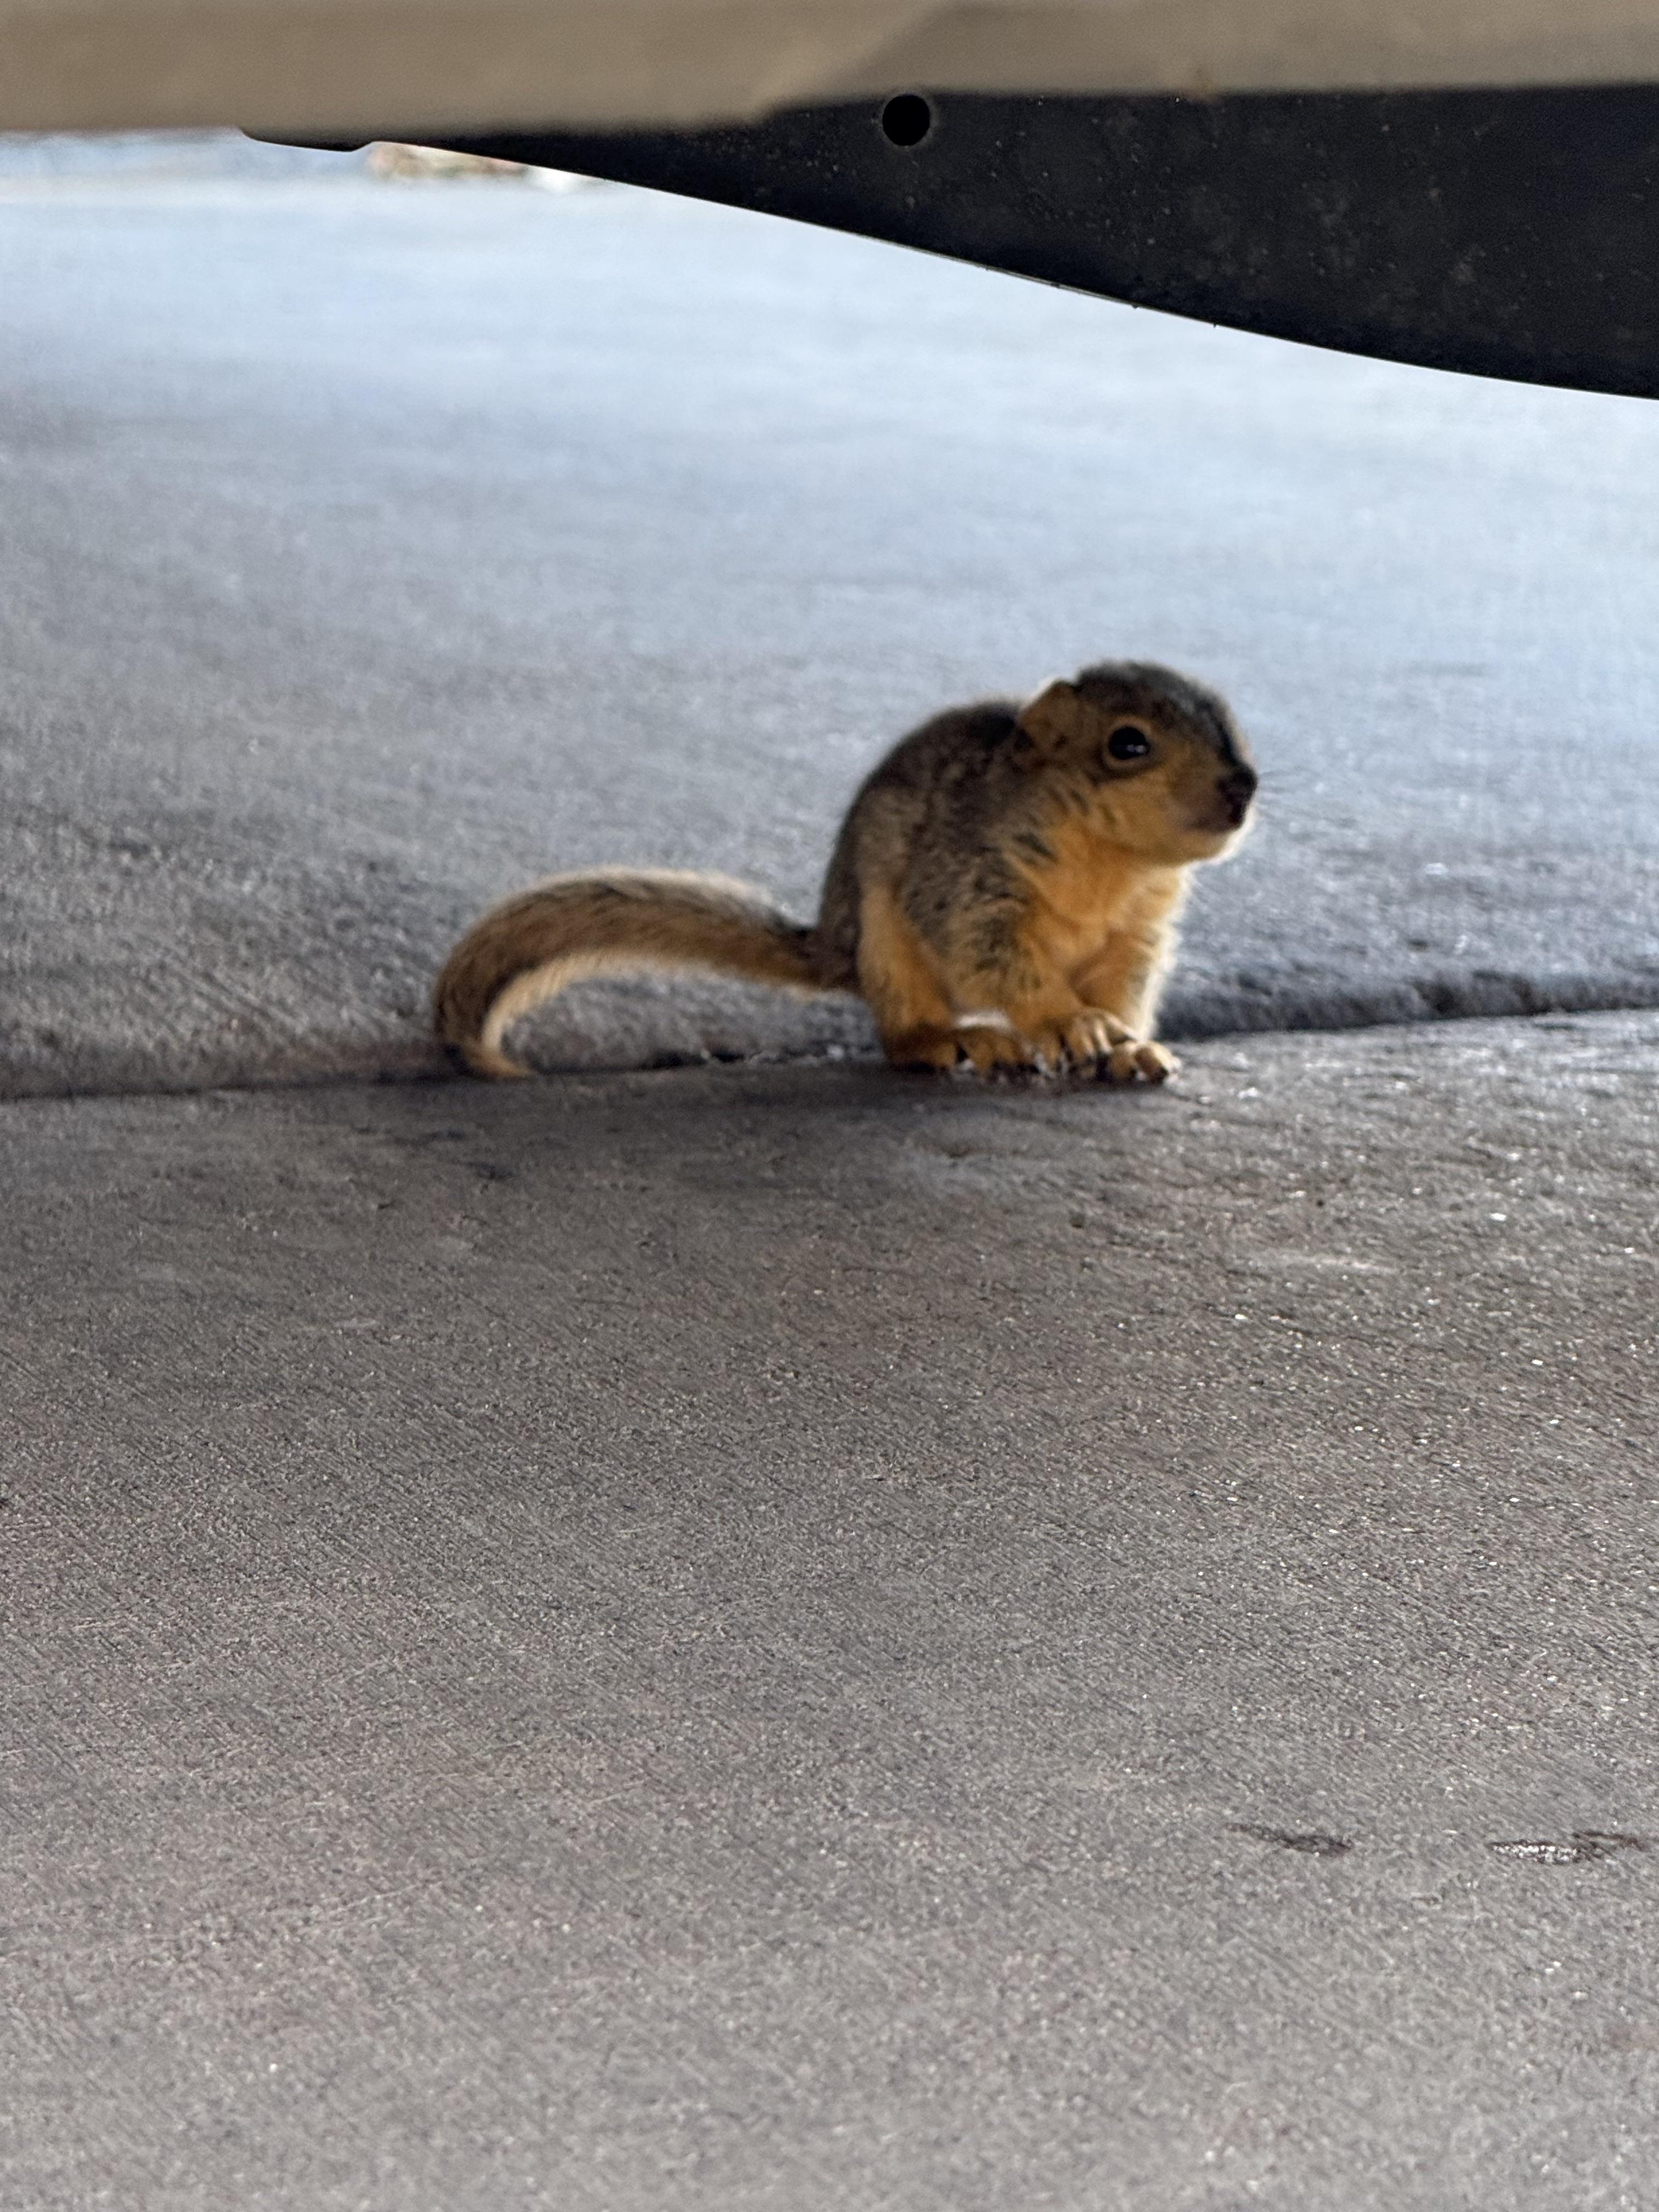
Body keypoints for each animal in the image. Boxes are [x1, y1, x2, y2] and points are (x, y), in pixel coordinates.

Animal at [434, 661, 1257, 1084]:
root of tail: (839, 941)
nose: (1241, 786)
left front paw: (1128, 1044)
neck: (1111, 865)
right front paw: (1066, 1020)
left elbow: (1125, 989)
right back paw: (957, 1042)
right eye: (1128, 744)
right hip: (889, 945)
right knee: (905, 1032)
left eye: (1232, 721)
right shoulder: (968, 877)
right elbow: (993, 955)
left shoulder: (1138, 934)